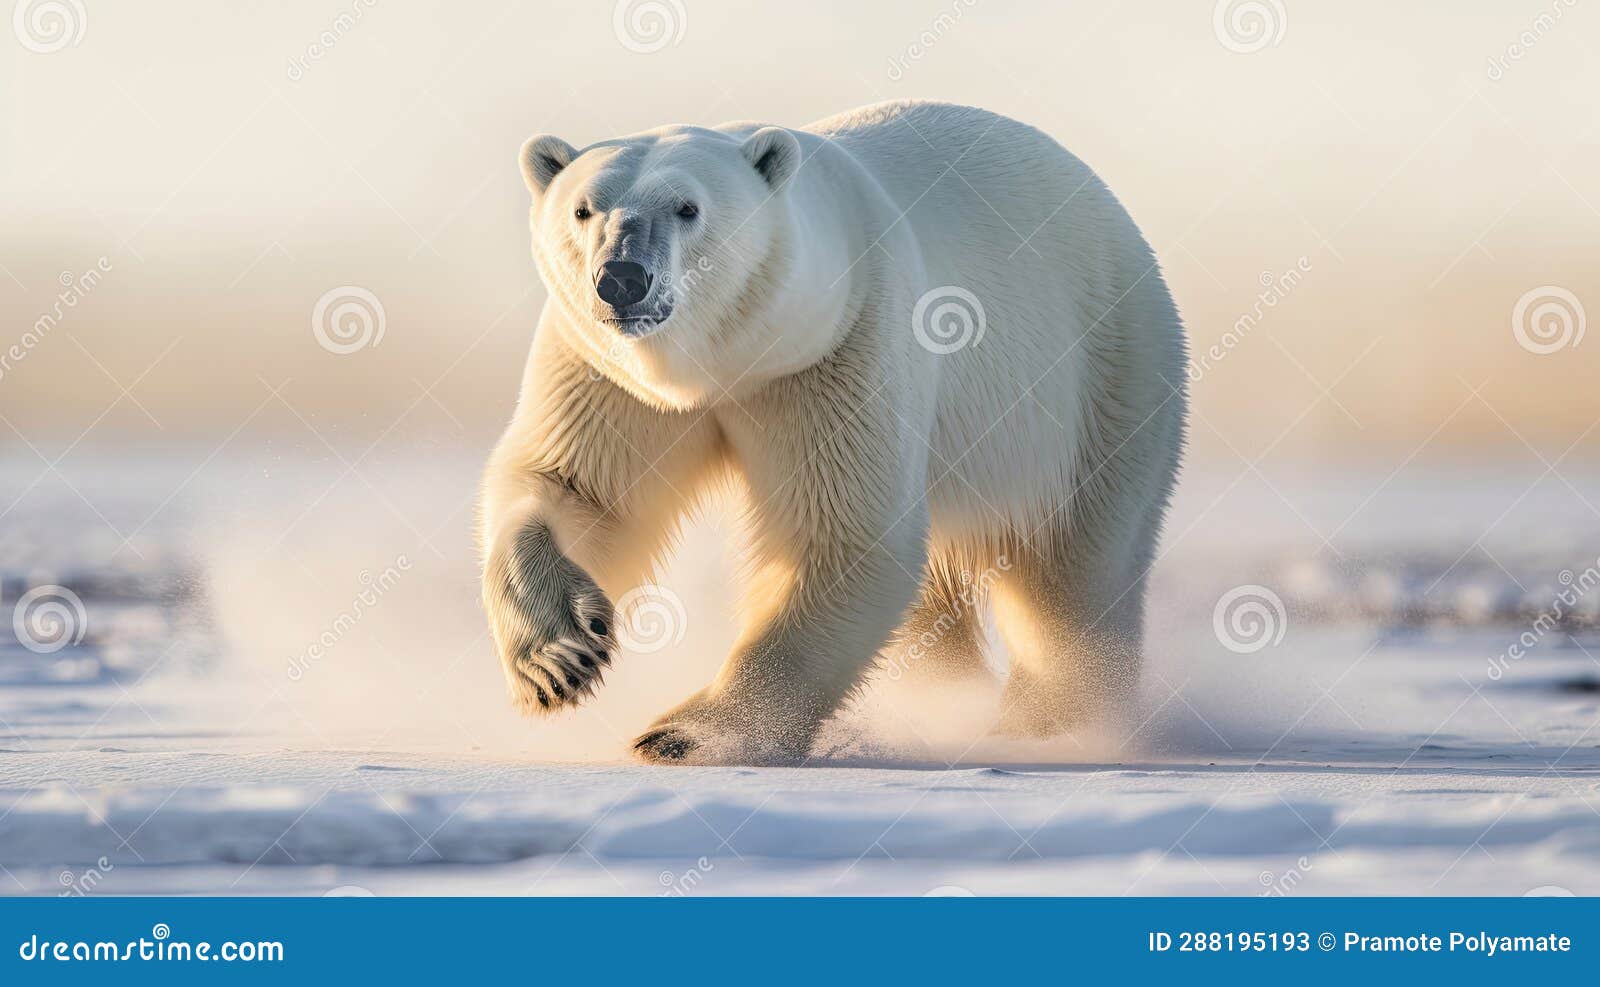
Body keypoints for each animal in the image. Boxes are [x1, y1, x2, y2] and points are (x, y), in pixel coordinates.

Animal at [479, 99, 1187, 764]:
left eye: (688, 207)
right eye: (583, 209)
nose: (622, 279)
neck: (728, 363)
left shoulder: (840, 343)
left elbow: (841, 530)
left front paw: (686, 735)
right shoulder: (612, 372)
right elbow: (579, 489)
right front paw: (558, 659)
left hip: (1103, 370)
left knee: (1075, 565)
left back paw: (1045, 719)